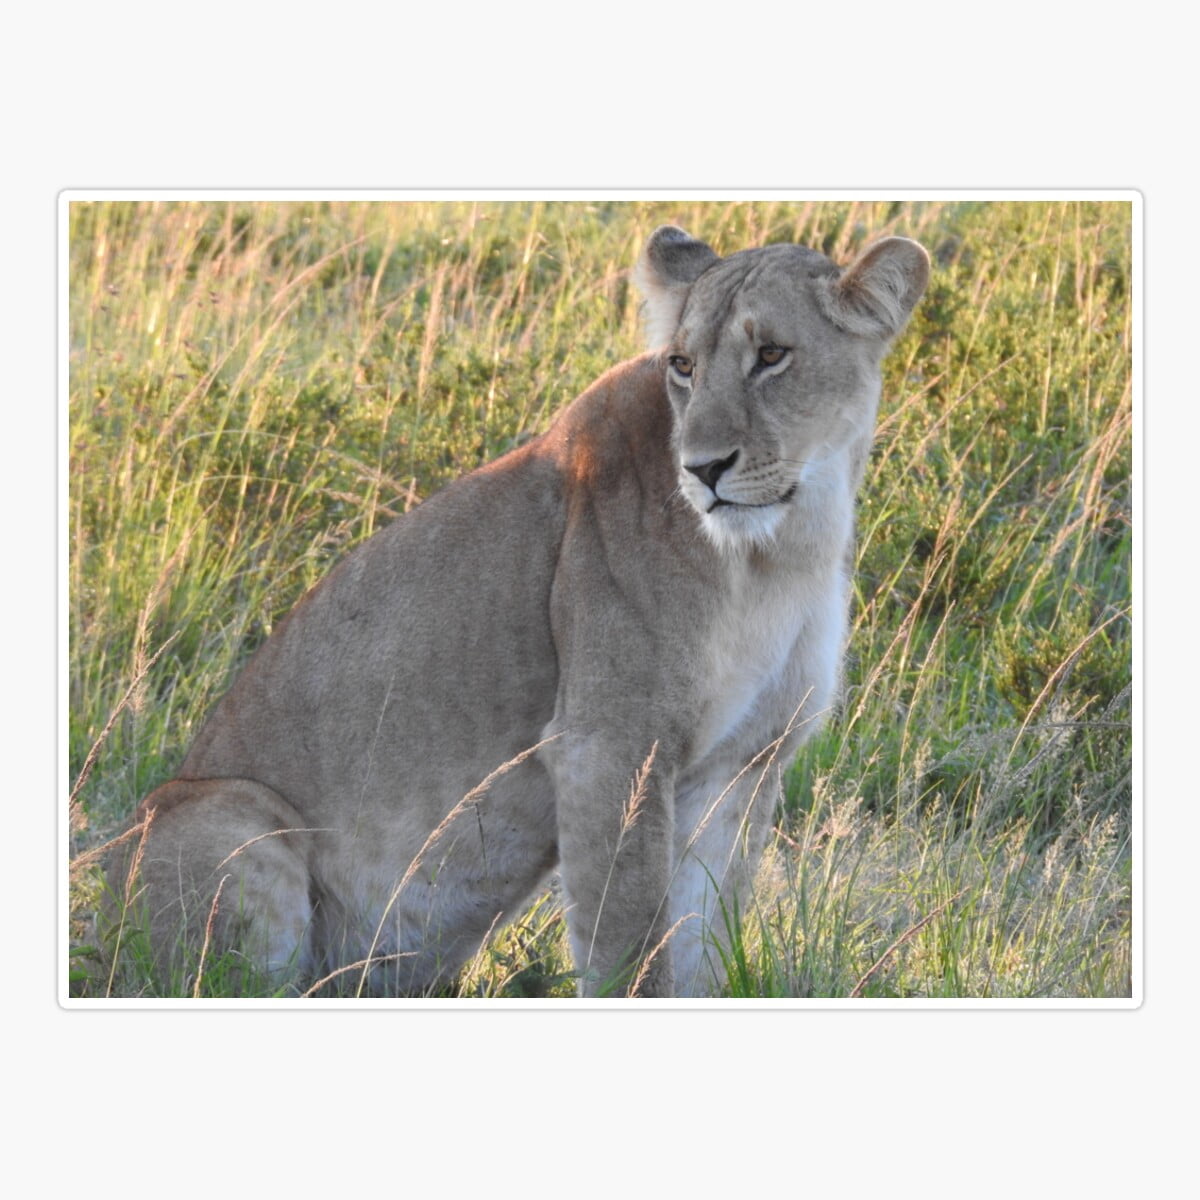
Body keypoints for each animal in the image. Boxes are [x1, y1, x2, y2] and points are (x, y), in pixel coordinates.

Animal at [99, 223, 929, 998]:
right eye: (684, 366)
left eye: (773, 355)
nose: (704, 470)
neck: (784, 550)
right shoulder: (608, 747)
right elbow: (631, 950)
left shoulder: (743, 770)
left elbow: (701, 948)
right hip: (225, 810)